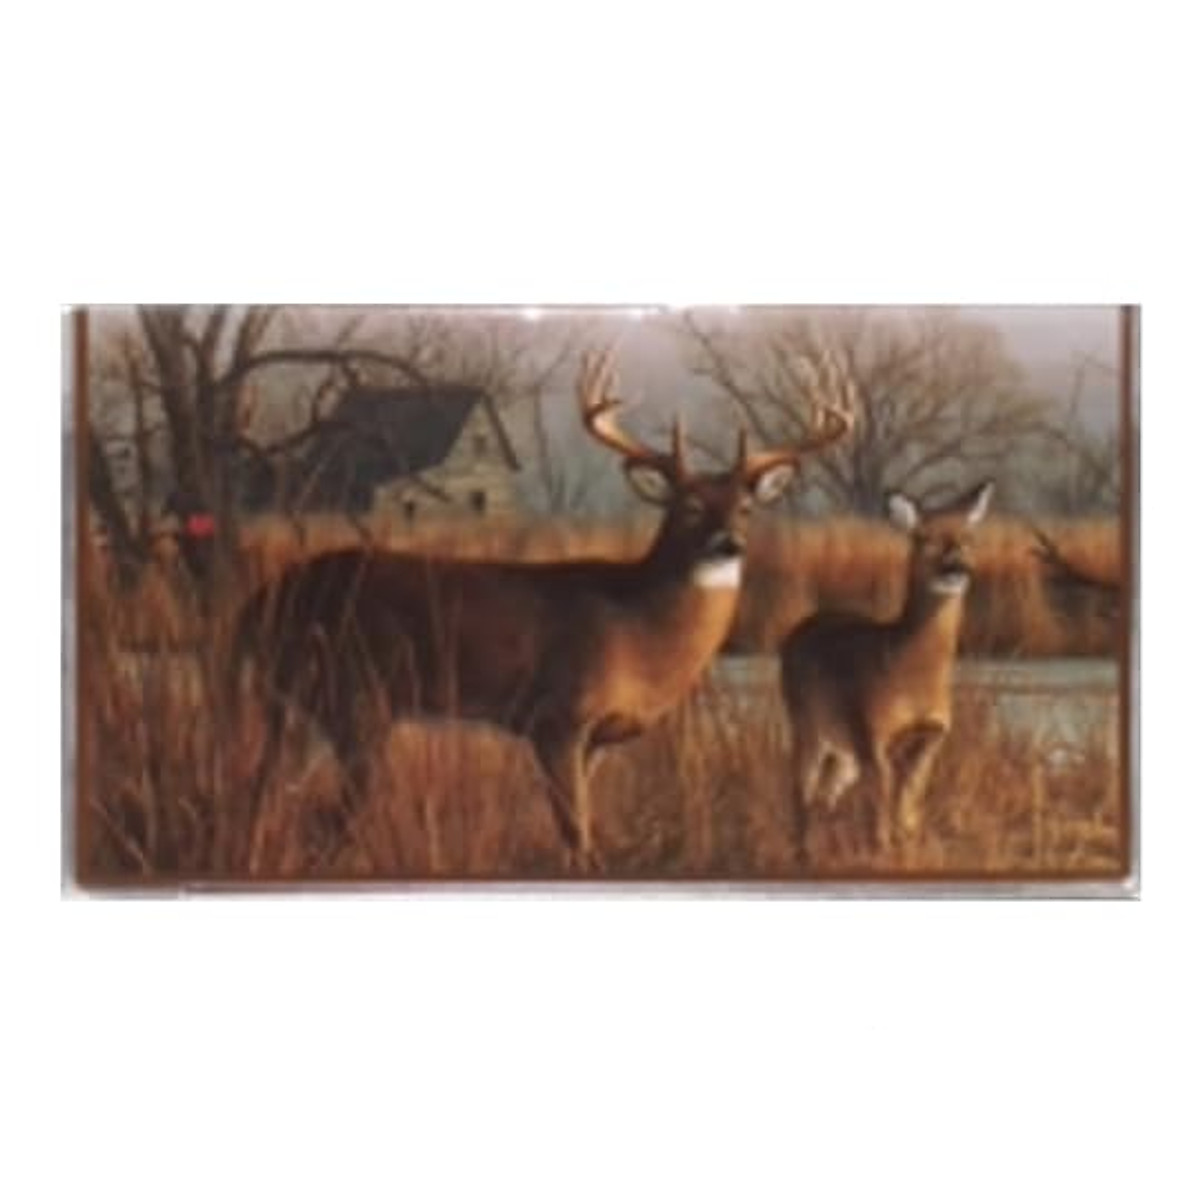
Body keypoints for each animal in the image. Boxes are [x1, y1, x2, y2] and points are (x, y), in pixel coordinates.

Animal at [228, 348, 854, 872]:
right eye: (689, 506)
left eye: (746, 507)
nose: (730, 544)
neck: (638, 628)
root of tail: (259, 600)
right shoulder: (556, 716)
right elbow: (576, 836)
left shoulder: (594, 738)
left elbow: (584, 832)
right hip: (354, 696)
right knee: (327, 814)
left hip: (296, 703)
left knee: (265, 793)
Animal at [779, 480, 994, 867]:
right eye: (924, 537)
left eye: (968, 538)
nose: (957, 568)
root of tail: (797, 630)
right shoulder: (872, 733)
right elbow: (879, 820)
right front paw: (883, 852)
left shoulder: (932, 735)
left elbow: (907, 812)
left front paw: (908, 847)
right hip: (807, 721)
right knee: (801, 792)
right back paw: (804, 855)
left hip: (843, 749)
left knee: (825, 797)